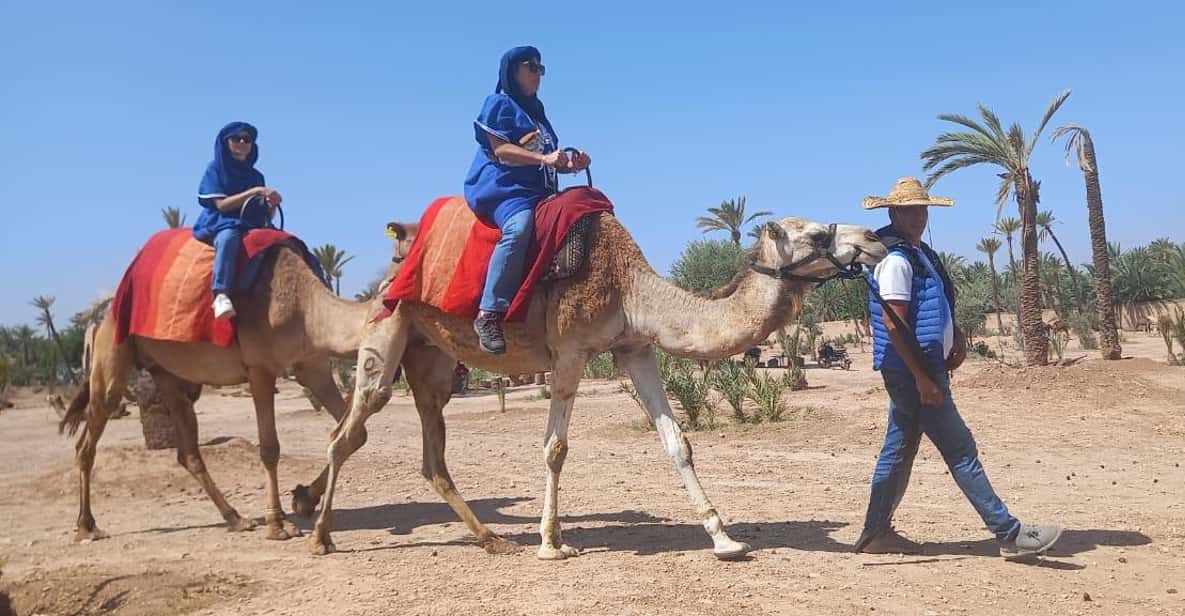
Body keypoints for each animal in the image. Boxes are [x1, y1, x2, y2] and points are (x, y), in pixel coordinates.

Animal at [60, 227, 417, 542]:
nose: (382, 388)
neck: (304, 306)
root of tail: (102, 314)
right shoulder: (260, 369)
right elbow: (269, 448)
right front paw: (278, 525)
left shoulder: (312, 366)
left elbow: (355, 435)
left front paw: (302, 498)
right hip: (113, 355)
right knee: (88, 440)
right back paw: (87, 527)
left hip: (167, 374)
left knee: (187, 451)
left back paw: (235, 518)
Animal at [308, 212, 887, 560]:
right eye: (816, 234)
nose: (875, 239)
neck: (631, 288)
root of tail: (395, 261)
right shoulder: (569, 352)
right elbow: (555, 448)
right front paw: (551, 543)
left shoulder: (635, 348)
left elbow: (677, 442)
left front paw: (725, 539)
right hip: (389, 327)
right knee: (349, 431)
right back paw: (319, 536)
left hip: (431, 357)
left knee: (429, 452)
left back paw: (492, 539)